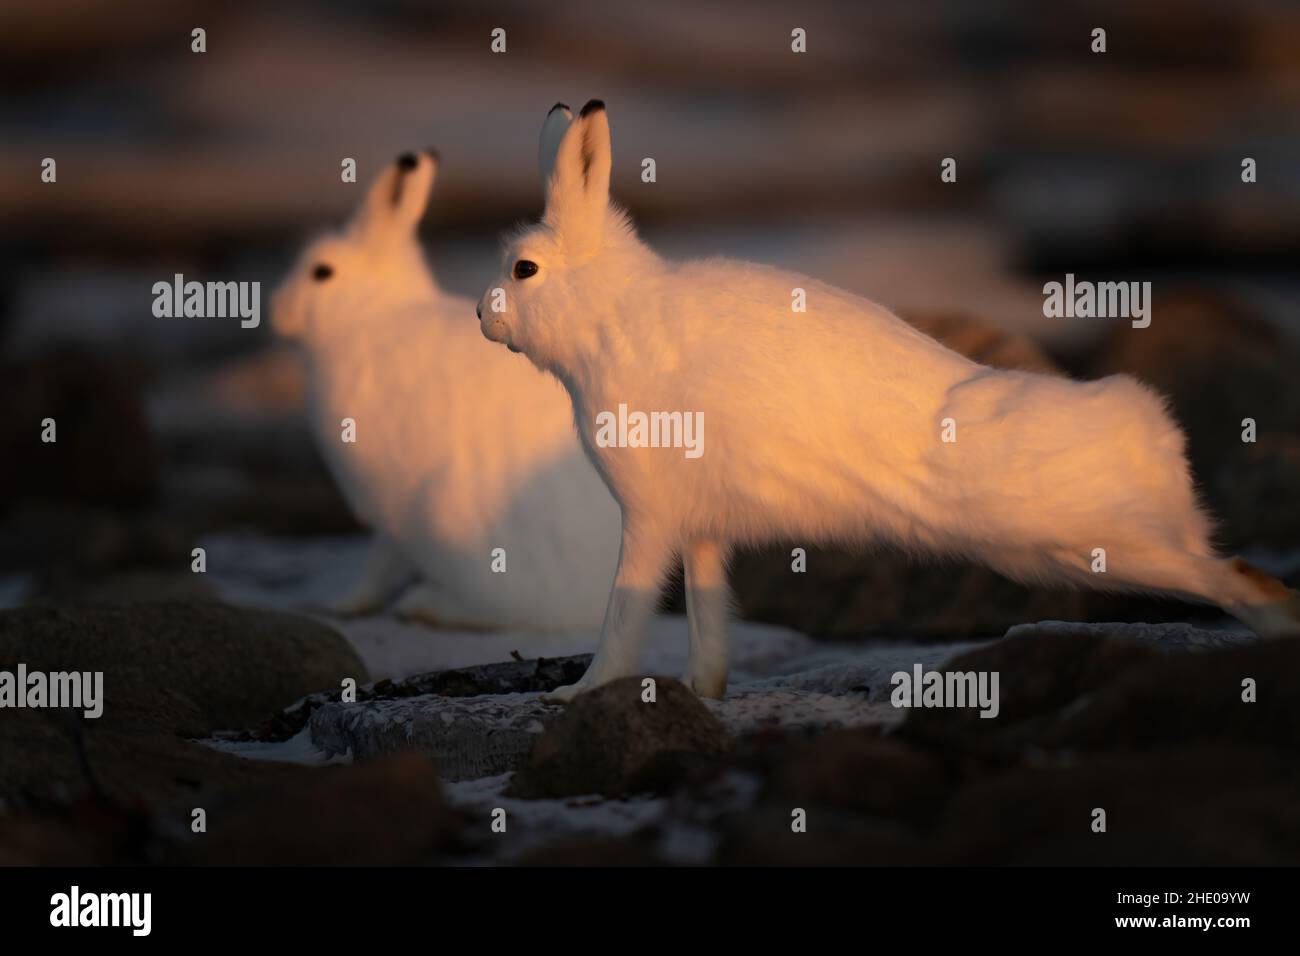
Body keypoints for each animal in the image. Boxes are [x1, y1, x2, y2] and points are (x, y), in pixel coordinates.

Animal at [272, 150, 620, 630]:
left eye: (320, 272)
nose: (275, 310)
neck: (367, 313)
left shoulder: (391, 508)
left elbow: (379, 563)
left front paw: (341, 605)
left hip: (449, 518)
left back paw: (422, 603)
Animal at [477, 100, 1300, 701]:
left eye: (524, 270)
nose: (484, 318)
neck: (606, 316)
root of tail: (1154, 437)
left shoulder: (649, 516)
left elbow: (624, 609)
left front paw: (576, 694)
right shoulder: (703, 528)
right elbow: (710, 611)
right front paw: (702, 691)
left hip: (1106, 545)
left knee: (1234, 577)